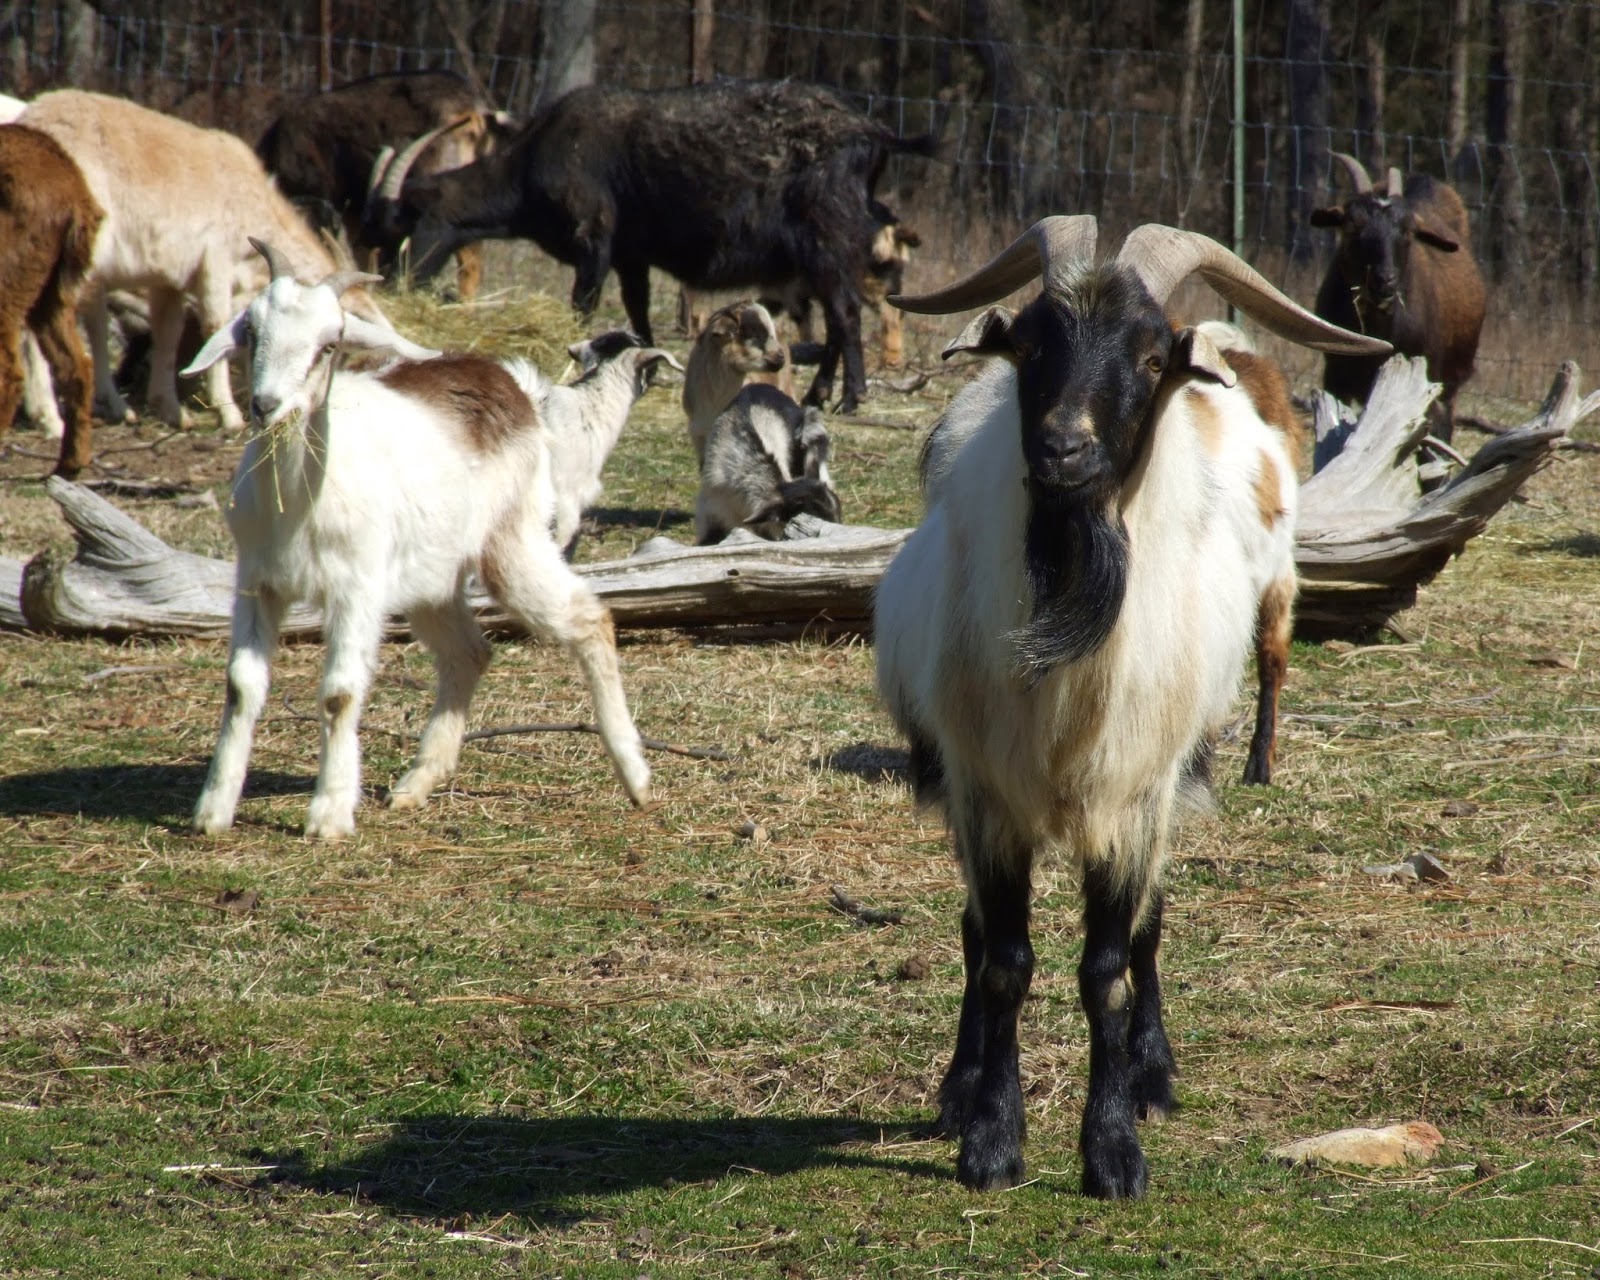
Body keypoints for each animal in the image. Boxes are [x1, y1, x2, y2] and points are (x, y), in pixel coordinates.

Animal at [19, 89, 391, 438]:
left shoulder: (169, 277)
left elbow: (168, 330)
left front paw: (171, 409)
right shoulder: (217, 257)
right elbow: (215, 324)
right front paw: (228, 413)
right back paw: (52, 418)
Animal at [182, 240, 651, 840]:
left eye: (329, 344)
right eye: (251, 332)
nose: (265, 404)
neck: (299, 503)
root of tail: (509, 382)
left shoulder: (357, 588)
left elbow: (339, 693)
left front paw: (329, 815)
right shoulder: (257, 581)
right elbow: (241, 684)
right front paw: (212, 810)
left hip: (514, 542)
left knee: (591, 618)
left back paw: (636, 777)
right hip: (432, 578)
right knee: (469, 652)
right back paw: (416, 782)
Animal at [364, 79, 935, 414]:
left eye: (405, 220)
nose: (395, 283)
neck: (537, 157)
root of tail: (871, 129)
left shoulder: (593, 241)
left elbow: (584, 301)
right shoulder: (631, 257)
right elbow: (637, 309)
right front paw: (649, 364)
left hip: (826, 242)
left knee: (845, 315)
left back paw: (849, 399)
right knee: (837, 320)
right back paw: (819, 394)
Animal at [875, 216, 1388, 1196]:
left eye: (1152, 356)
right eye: (1033, 342)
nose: (1061, 451)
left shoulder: (1135, 797)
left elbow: (1109, 966)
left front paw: (1113, 1148)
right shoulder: (983, 792)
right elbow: (1002, 961)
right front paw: (988, 1135)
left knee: (1149, 927)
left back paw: (1151, 1073)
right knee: (972, 932)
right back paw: (959, 1085)